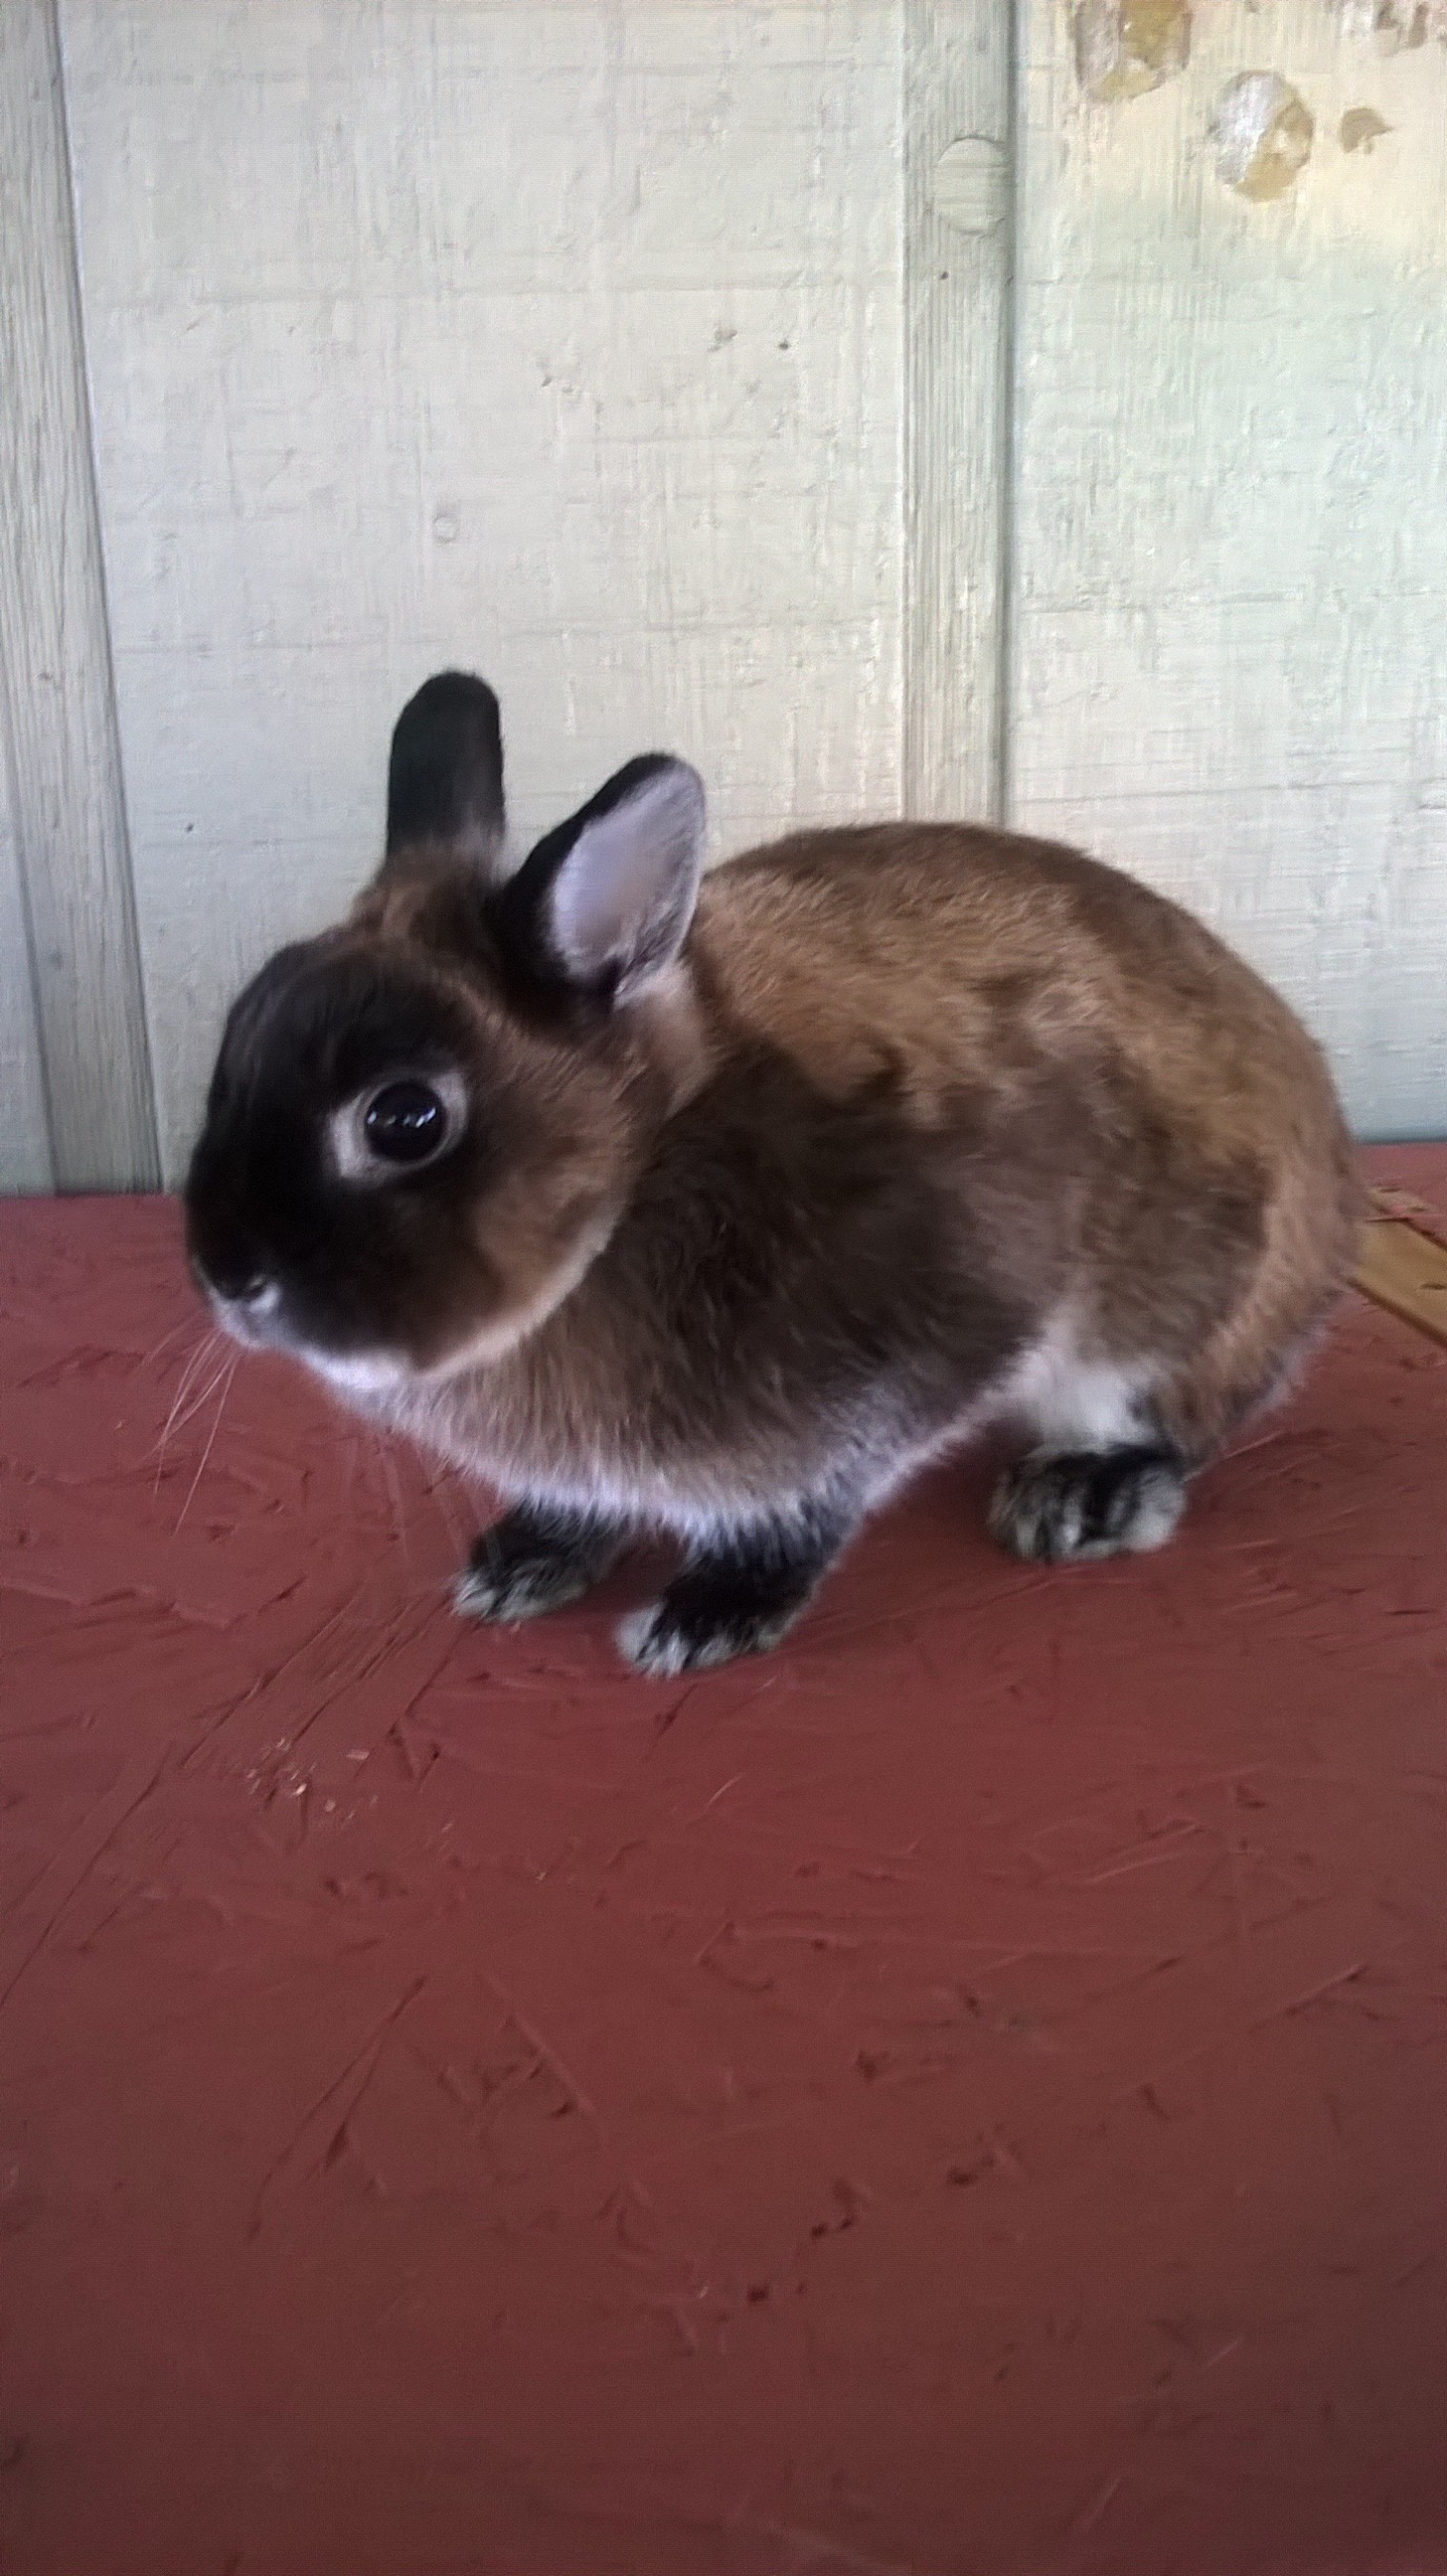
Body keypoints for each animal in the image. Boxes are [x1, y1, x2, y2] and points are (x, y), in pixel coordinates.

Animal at [184, 669, 1362, 1677]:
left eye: (404, 1119)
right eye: (232, 1043)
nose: (228, 1279)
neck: (636, 1181)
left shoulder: (920, 1346)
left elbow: (809, 1503)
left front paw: (707, 1615)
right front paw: (522, 1563)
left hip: (1174, 1322)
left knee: (1179, 1426)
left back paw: (1079, 1498)